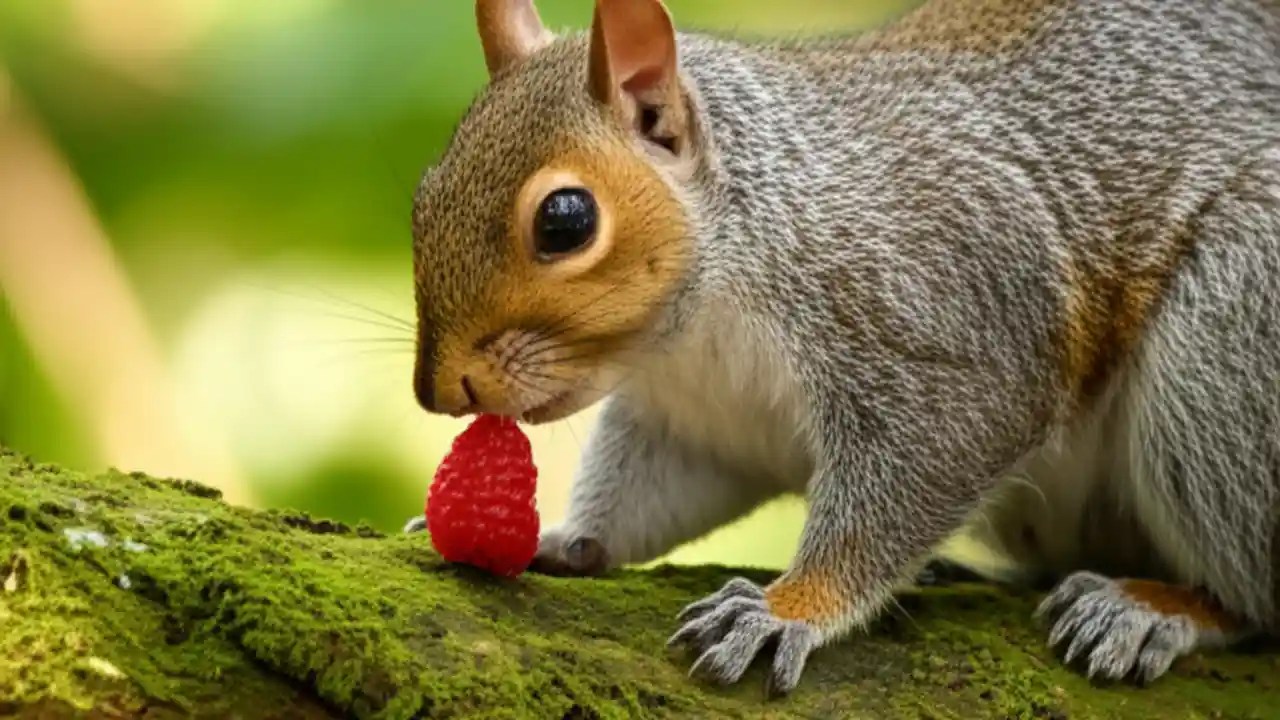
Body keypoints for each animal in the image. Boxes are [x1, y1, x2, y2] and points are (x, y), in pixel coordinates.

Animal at [407, 0, 1280, 697]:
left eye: (565, 221)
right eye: (422, 193)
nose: (439, 392)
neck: (699, 329)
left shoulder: (947, 324)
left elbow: (917, 471)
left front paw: (785, 608)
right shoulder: (698, 423)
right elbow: (644, 495)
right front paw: (563, 539)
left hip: (1230, 342)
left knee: (1255, 588)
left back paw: (1157, 606)